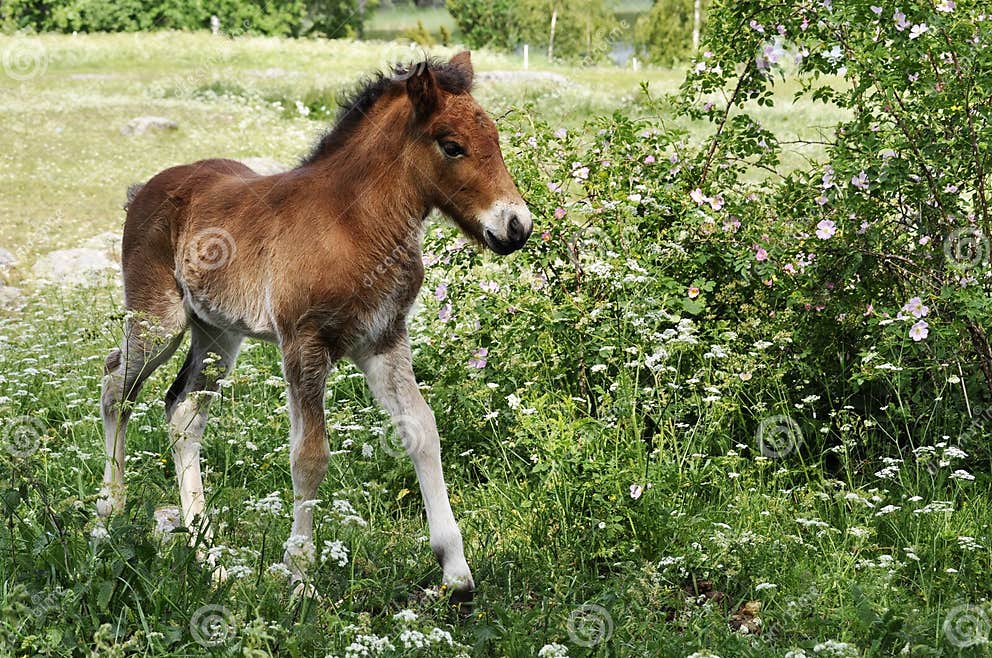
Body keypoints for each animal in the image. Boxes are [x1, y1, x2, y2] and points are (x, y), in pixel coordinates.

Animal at [97, 51, 532, 603]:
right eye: (452, 145)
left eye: (494, 137)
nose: (517, 226)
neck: (353, 223)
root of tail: (142, 190)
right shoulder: (303, 342)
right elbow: (310, 456)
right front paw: (301, 576)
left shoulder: (384, 338)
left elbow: (422, 431)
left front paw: (455, 571)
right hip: (158, 319)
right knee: (116, 384)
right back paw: (108, 513)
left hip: (218, 332)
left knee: (183, 412)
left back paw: (206, 552)